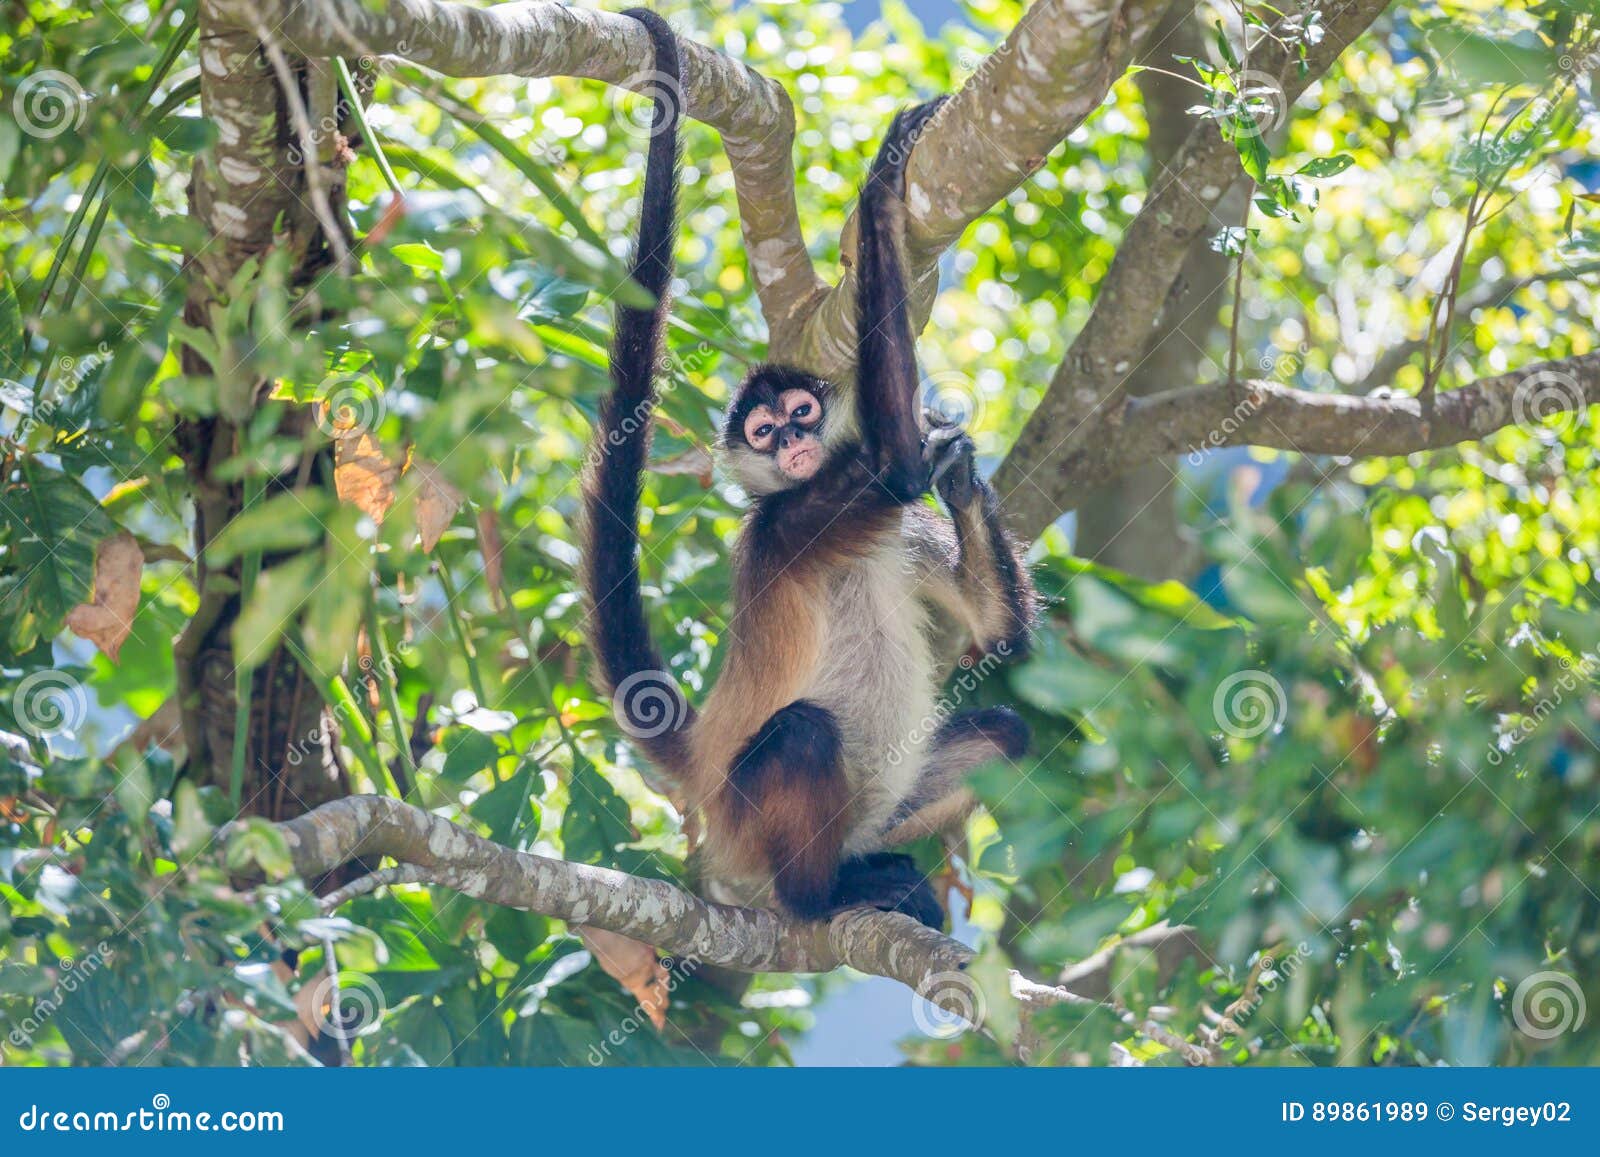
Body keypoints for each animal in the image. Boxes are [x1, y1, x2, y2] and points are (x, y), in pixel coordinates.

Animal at [582, 9, 1037, 928]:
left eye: (800, 415)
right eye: (761, 433)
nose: (791, 443)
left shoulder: (895, 533)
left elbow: (997, 635)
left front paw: (959, 466)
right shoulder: (787, 524)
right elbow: (893, 470)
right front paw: (880, 184)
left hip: (878, 805)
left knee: (1005, 731)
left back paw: (873, 870)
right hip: (750, 820)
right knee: (802, 733)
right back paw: (819, 896)